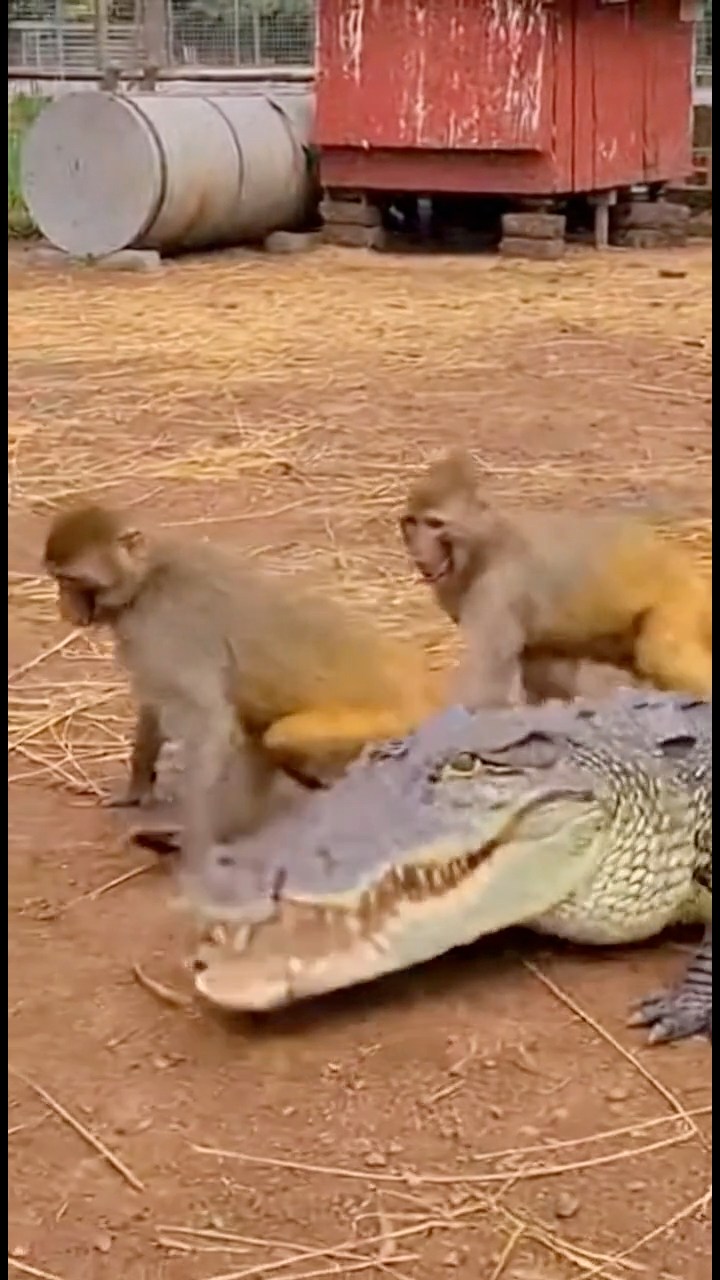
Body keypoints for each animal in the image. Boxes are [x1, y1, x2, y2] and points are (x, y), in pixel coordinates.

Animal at [44, 503, 441, 867]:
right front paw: (138, 786)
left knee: (274, 737)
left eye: (73, 581)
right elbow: (156, 708)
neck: (147, 577)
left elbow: (209, 723)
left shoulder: (164, 626)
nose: (65, 610)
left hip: (389, 724)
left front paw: (196, 838)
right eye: (58, 580)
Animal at [399, 449, 712, 709]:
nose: (420, 552)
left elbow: (488, 688)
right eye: (412, 522)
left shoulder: (497, 590)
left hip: (681, 601)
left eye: (435, 524)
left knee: (660, 654)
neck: (484, 545)